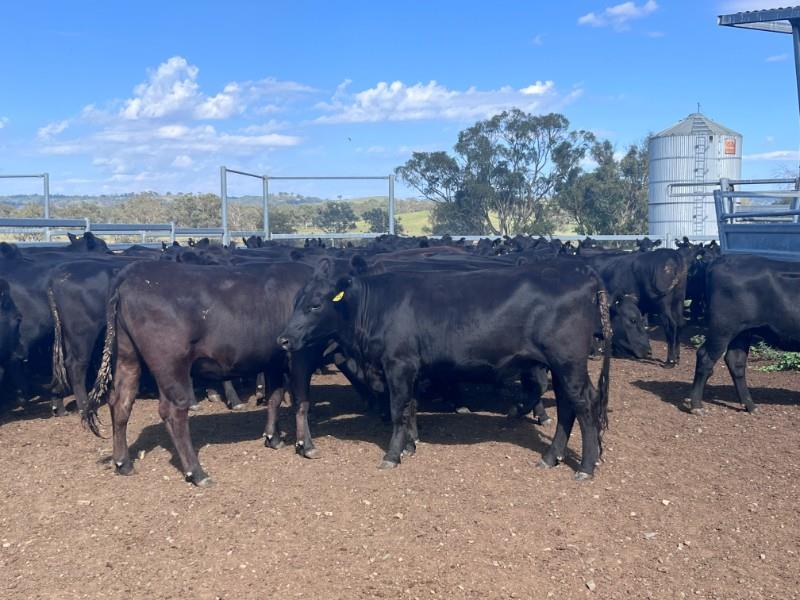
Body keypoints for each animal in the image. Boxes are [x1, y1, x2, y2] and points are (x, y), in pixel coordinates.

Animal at [278, 257, 612, 479]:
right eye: (296, 301)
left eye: (316, 304)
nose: (283, 339)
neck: (378, 306)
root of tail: (581, 271)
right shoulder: (411, 367)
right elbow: (411, 407)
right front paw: (410, 445)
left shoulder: (398, 364)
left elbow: (398, 410)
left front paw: (392, 455)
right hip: (560, 366)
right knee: (568, 406)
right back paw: (550, 456)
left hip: (567, 362)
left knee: (585, 403)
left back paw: (585, 467)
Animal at [688, 255, 800, 414]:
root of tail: (720, 259)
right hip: (723, 328)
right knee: (705, 357)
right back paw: (697, 406)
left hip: (742, 332)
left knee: (736, 361)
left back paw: (751, 405)